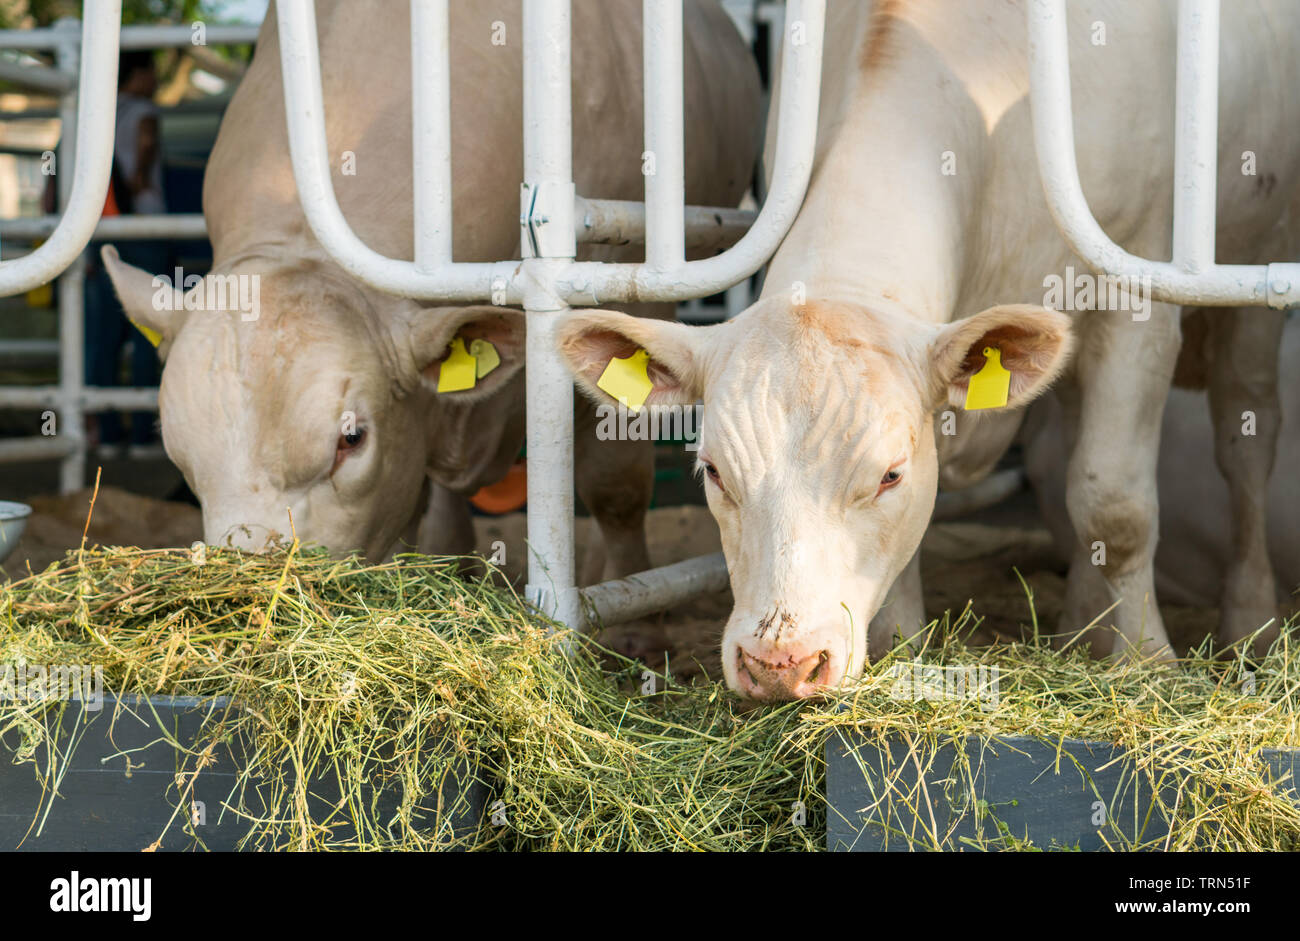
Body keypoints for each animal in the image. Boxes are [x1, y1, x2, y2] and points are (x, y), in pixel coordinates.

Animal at [556, 0, 1300, 698]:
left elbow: (1116, 502)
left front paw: (1149, 660)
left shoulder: (1136, 296)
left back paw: (1251, 623)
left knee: (1243, 444)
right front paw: (903, 645)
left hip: (1254, 275)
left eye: (890, 474)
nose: (780, 663)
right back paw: (1079, 630)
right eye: (712, 471)